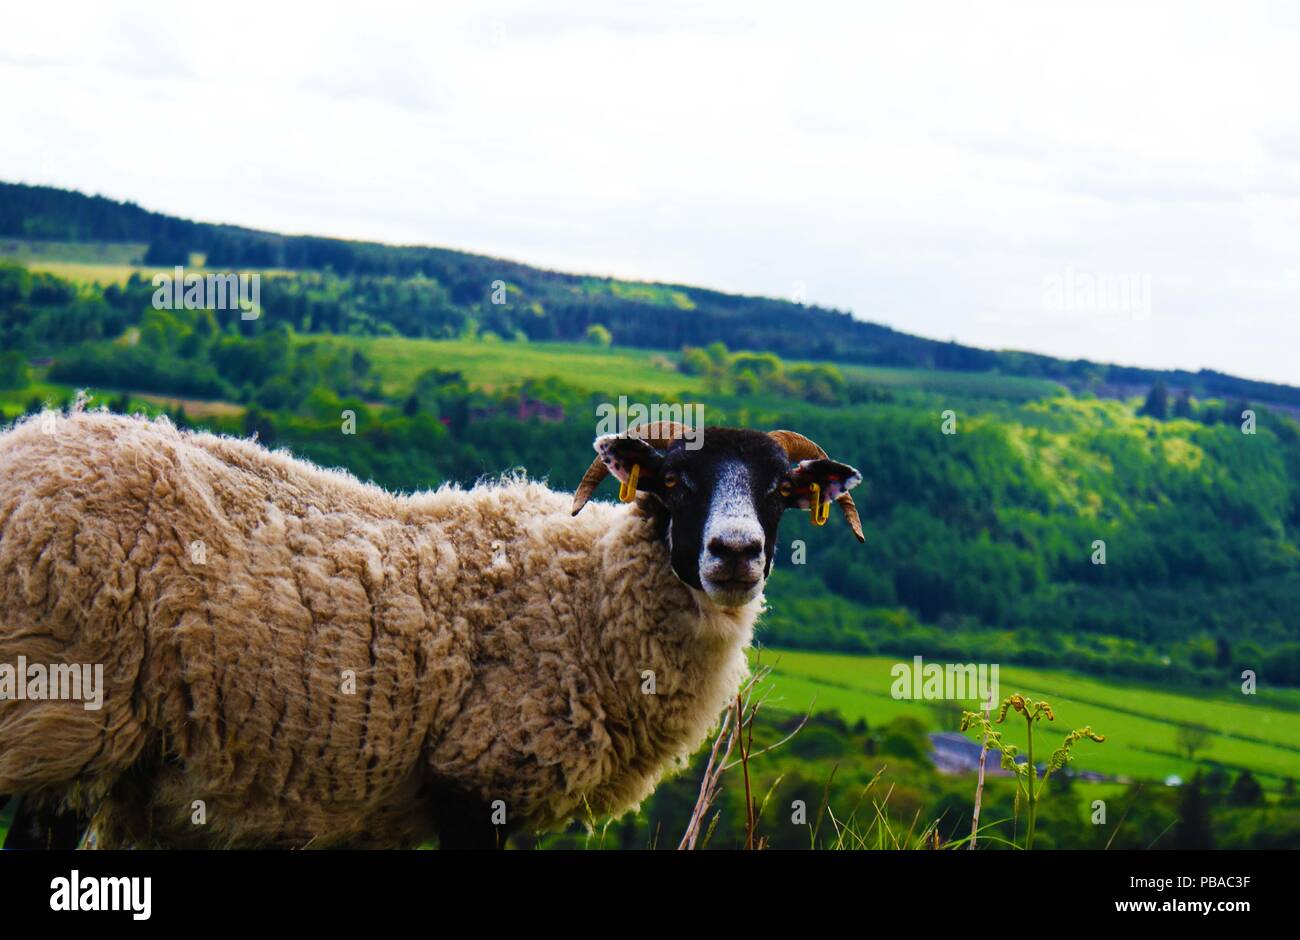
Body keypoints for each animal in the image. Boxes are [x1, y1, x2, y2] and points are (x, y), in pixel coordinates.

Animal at [0, 409, 862, 848]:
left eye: (780, 490)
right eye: (675, 481)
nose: (735, 553)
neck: (588, 594)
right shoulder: (480, 779)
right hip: (61, 718)